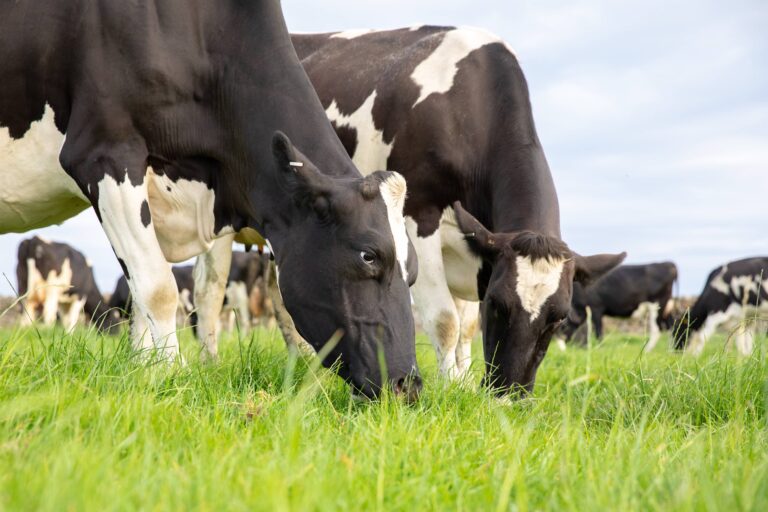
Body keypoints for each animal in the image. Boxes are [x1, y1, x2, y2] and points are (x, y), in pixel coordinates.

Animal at [0, 1, 420, 400]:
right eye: (368, 255)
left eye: (413, 272)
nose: (408, 385)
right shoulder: (103, 153)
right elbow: (158, 288)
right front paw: (169, 375)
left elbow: (150, 295)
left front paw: (143, 367)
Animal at [268, 26, 625, 396]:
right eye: (496, 304)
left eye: (559, 318)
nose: (507, 395)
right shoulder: (418, 218)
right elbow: (445, 320)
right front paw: (449, 384)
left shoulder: (475, 243)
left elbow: (466, 325)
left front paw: (464, 383)